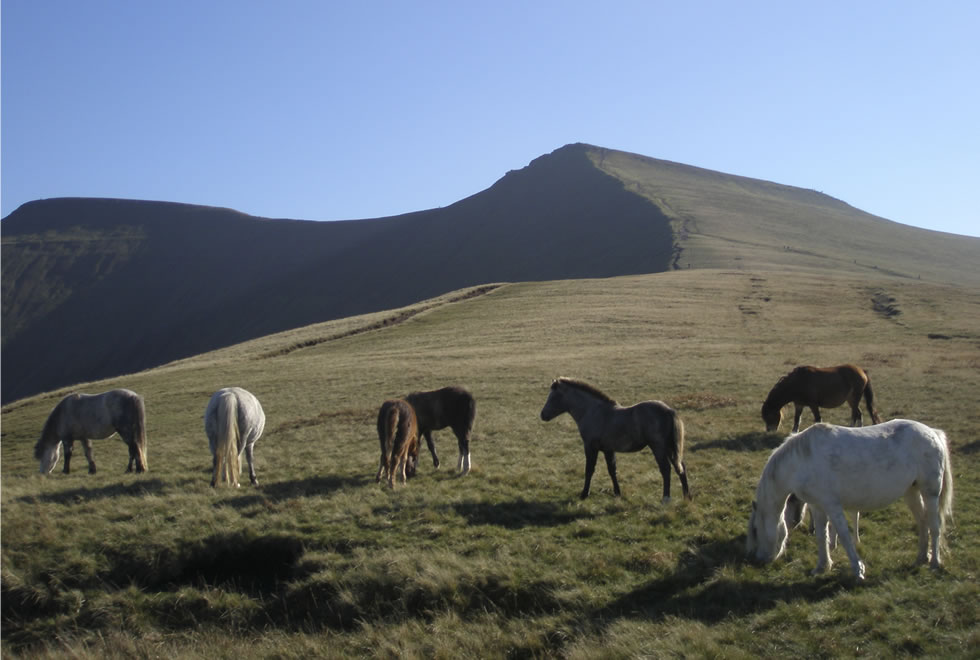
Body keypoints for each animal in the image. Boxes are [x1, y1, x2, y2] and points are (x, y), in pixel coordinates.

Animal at [540, 378, 691, 502]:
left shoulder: (590, 447)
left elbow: (589, 470)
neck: (593, 411)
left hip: (658, 447)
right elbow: (612, 470)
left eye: (553, 397)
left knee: (666, 469)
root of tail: (669, 410)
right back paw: (687, 497)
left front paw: (584, 494)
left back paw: (666, 498)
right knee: (680, 467)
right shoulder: (608, 449)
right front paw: (617, 493)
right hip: (670, 447)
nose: (542, 415)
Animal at [746, 420, 954, 580]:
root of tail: (933, 433)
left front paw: (858, 570)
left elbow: (844, 536)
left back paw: (934, 562)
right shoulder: (817, 506)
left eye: (755, 530)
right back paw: (921, 558)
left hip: (930, 493)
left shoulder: (832, 506)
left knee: (934, 525)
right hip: (911, 492)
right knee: (922, 522)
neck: (802, 462)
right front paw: (822, 567)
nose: (759, 560)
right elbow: (821, 536)